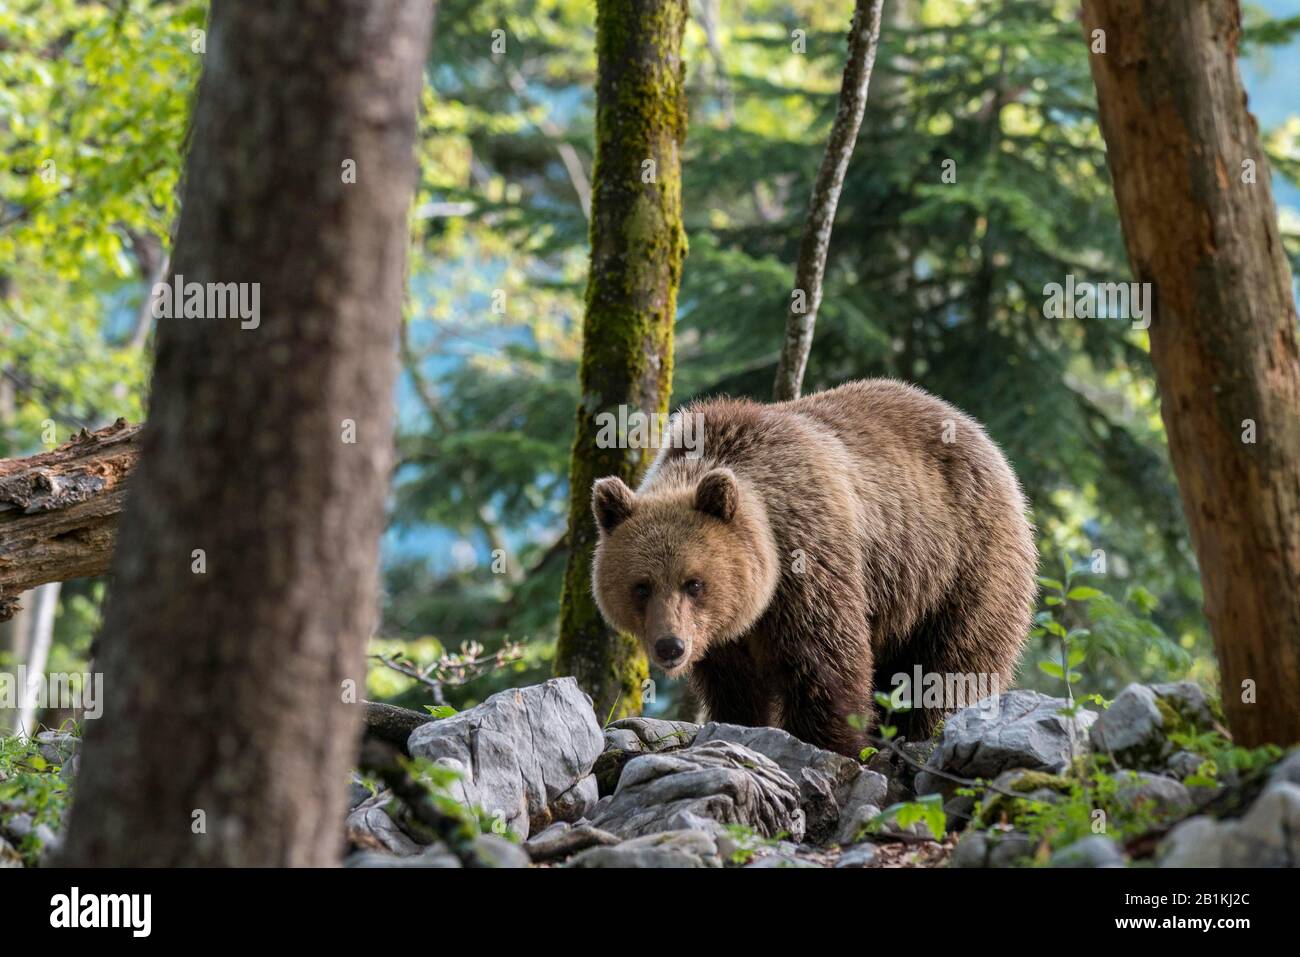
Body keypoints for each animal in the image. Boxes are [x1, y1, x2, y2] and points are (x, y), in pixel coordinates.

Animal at [590, 379, 1037, 758]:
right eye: (642, 586)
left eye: (693, 583)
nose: (671, 646)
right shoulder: (724, 637)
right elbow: (735, 688)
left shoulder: (809, 563)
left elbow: (825, 665)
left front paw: (830, 743)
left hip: (961, 561)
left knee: (951, 666)